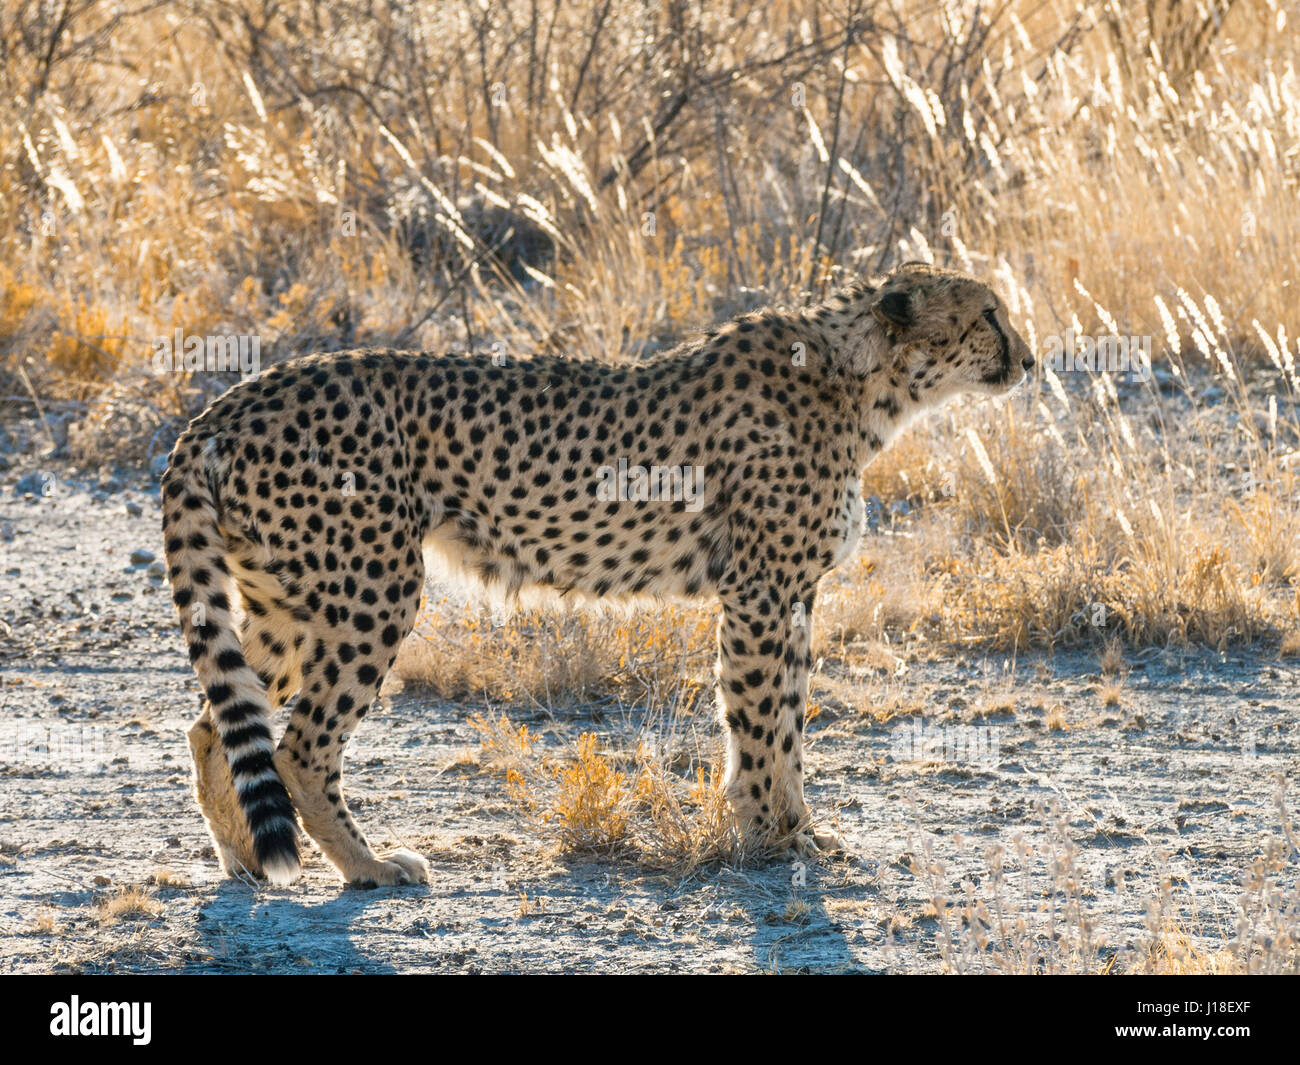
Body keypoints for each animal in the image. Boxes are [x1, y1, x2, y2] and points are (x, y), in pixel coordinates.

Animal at [160, 261, 1033, 887]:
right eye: (987, 314)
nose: (1027, 357)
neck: (863, 383)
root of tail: (227, 402)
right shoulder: (760, 593)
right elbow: (762, 724)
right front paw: (769, 836)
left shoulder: (792, 595)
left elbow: (785, 719)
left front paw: (798, 829)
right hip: (372, 589)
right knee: (300, 745)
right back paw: (369, 866)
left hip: (289, 596)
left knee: (216, 722)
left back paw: (246, 858)